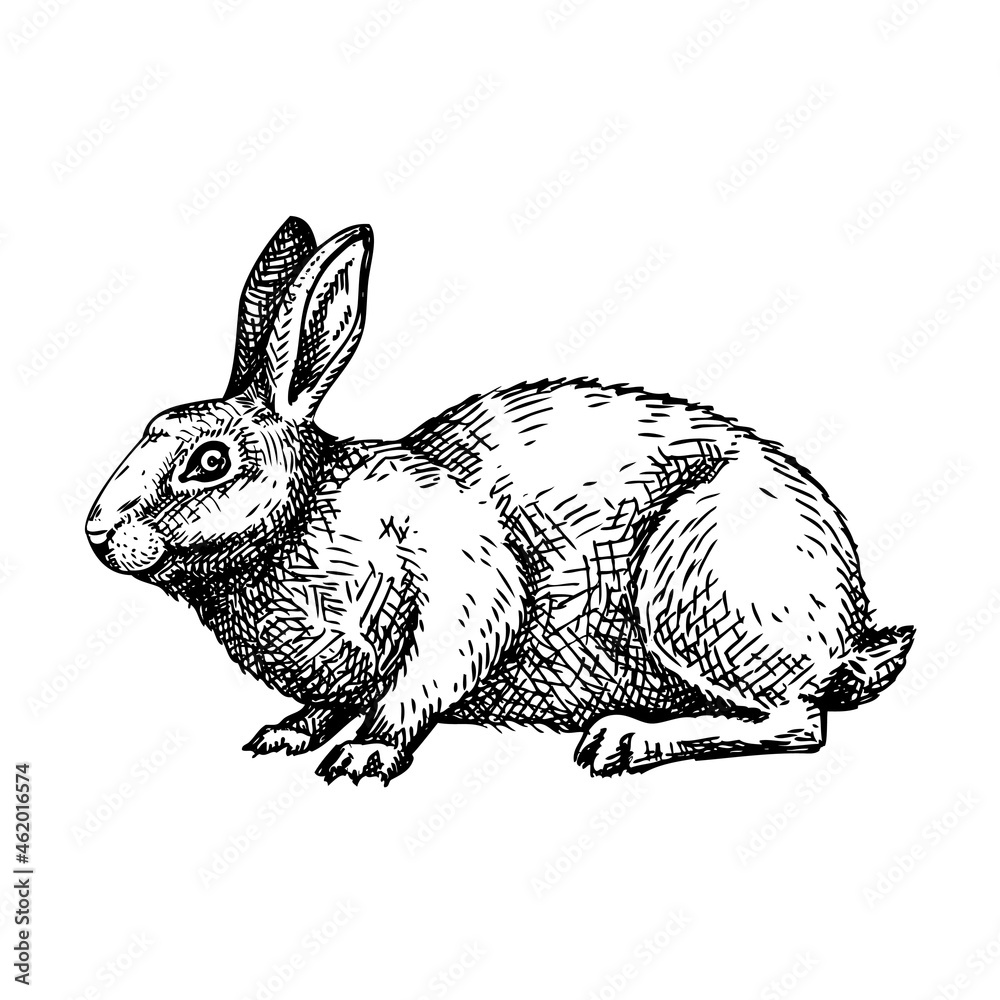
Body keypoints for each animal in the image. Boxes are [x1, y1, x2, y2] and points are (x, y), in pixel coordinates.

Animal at [86, 217, 914, 785]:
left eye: (210, 462)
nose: (97, 533)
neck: (301, 515)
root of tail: (846, 627)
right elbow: (331, 702)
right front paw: (287, 733)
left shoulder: (458, 586)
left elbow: (425, 676)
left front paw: (363, 755)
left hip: (696, 593)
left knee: (797, 720)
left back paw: (625, 739)